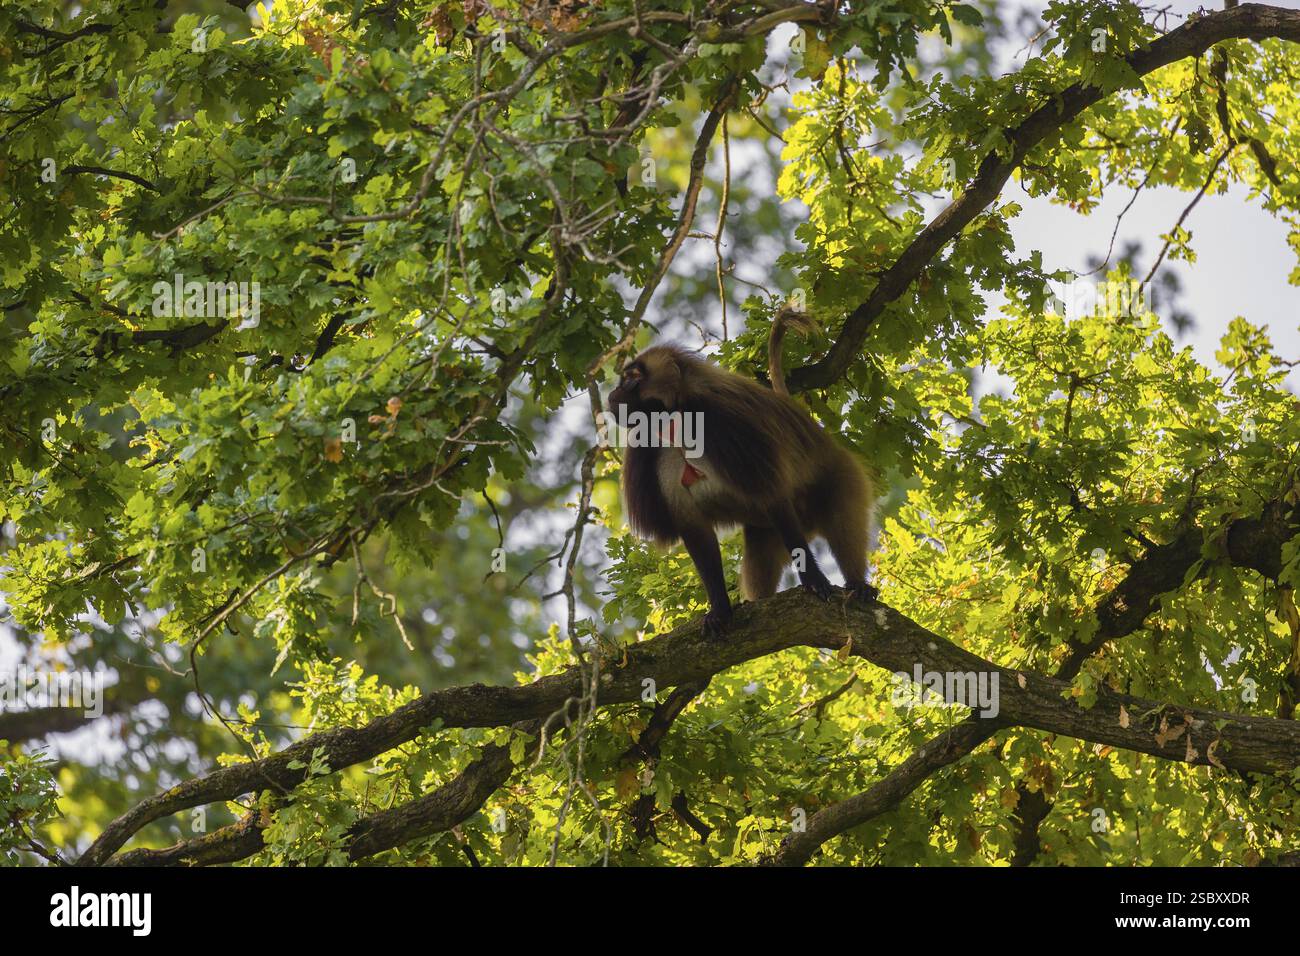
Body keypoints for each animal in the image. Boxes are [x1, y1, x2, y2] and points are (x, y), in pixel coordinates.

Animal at [607, 311, 878, 636]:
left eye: (632, 378)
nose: (613, 394)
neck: (678, 414)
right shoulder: (662, 453)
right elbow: (693, 526)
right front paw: (720, 609)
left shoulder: (722, 422)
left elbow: (769, 492)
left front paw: (813, 579)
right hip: (768, 530)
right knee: (761, 561)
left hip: (841, 475)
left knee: (842, 523)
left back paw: (858, 584)